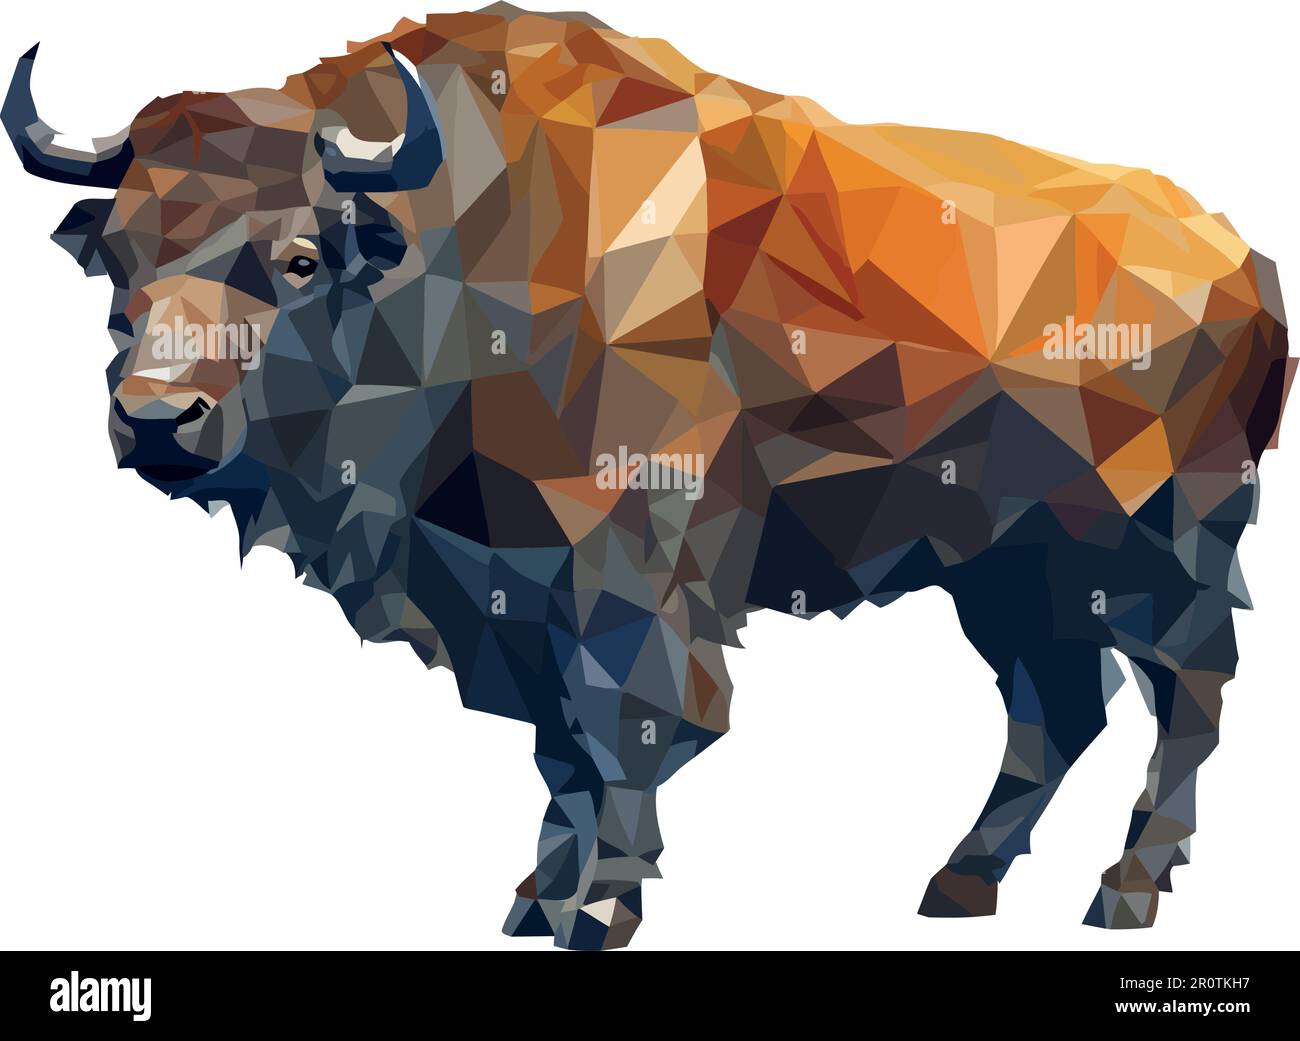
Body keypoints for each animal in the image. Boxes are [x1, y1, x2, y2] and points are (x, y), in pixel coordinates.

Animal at [4, 3, 1292, 949]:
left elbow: (627, 720)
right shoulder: (496, 583)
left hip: (1152, 552)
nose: (156, 419)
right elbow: (557, 746)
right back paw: (959, 883)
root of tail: (1244, 259)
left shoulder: (621, 571)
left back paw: (1123, 891)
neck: (471, 248)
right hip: (1007, 572)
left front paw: (598, 905)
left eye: (299, 258)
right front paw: (536, 898)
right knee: (1058, 706)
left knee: (1188, 691)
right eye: (116, 257)